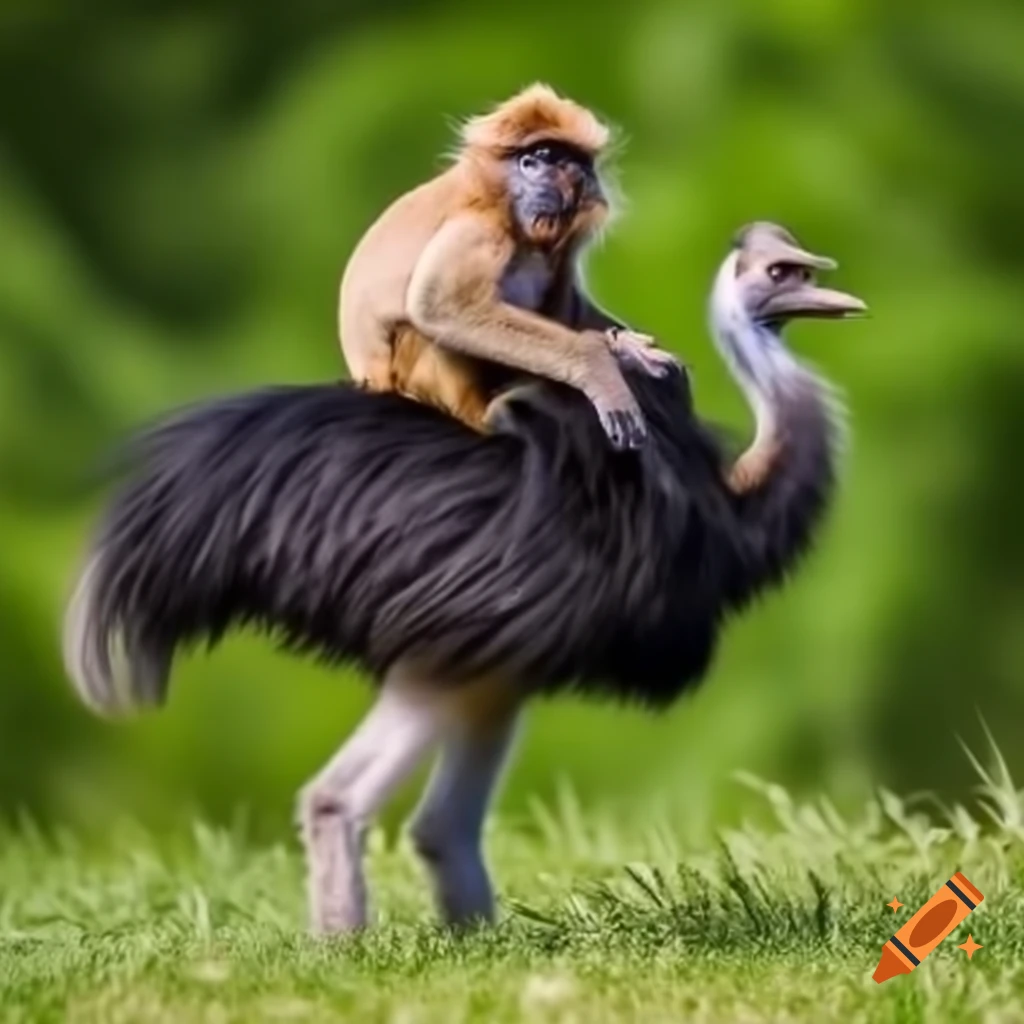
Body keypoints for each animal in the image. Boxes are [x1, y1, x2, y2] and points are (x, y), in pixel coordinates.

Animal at [337, 83, 677, 450]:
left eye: (576, 162)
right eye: (545, 157)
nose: (579, 174)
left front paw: (622, 348)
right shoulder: (481, 230)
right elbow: (437, 305)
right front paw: (597, 364)